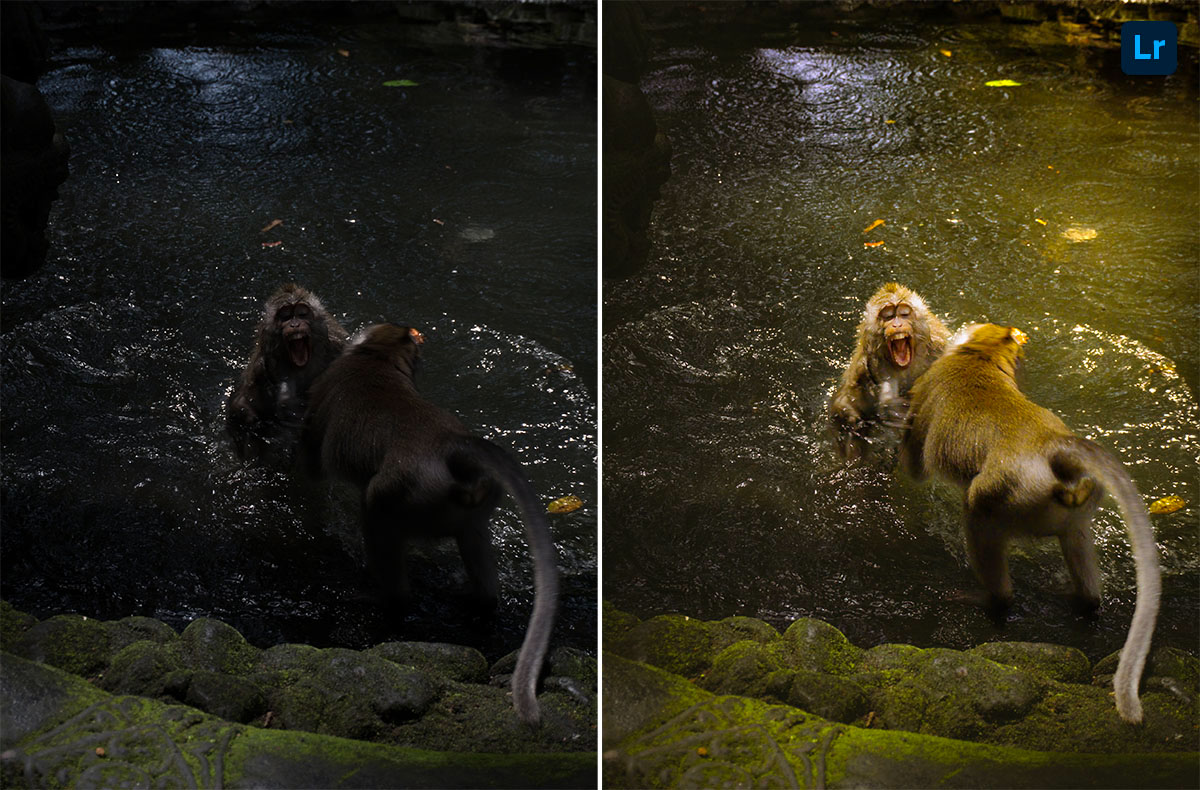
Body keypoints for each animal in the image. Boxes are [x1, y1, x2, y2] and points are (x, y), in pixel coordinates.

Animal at [226, 283, 348, 461]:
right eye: (286, 317)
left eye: (302, 313)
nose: (295, 324)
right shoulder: (262, 366)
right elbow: (243, 407)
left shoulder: (338, 349)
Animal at [301, 323, 559, 725]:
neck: (376, 357)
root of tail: (450, 445)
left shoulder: (321, 391)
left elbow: (311, 453)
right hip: (475, 499)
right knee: (473, 539)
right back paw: (480, 602)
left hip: (404, 494)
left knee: (374, 515)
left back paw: (385, 597)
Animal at [899, 323, 1160, 724]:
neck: (981, 356)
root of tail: (1053, 446)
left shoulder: (925, 388)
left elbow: (915, 464)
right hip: (1077, 502)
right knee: (1075, 538)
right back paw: (1085, 601)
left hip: (1009, 495)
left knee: (976, 514)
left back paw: (992, 599)